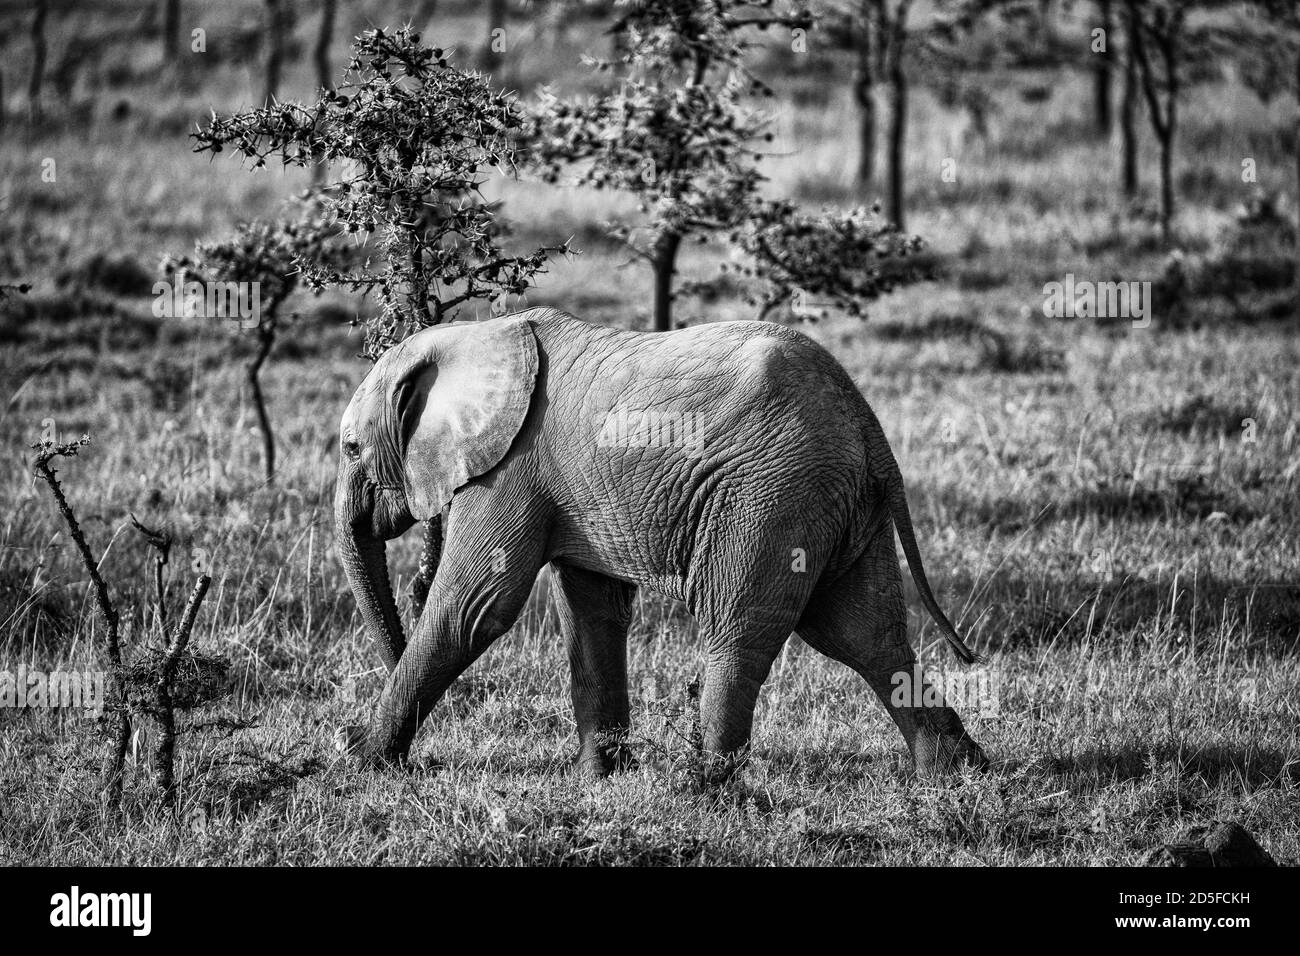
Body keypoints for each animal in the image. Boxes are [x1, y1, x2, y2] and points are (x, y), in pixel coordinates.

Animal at [334, 307, 988, 781]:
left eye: (350, 449)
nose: (348, 735)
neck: (475, 333)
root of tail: (866, 421)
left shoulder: (509, 469)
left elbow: (472, 609)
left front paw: (362, 759)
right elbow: (592, 613)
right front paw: (599, 780)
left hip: (773, 498)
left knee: (737, 632)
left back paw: (703, 785)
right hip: (842, 507)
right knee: (866, 636)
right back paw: (957, 772)